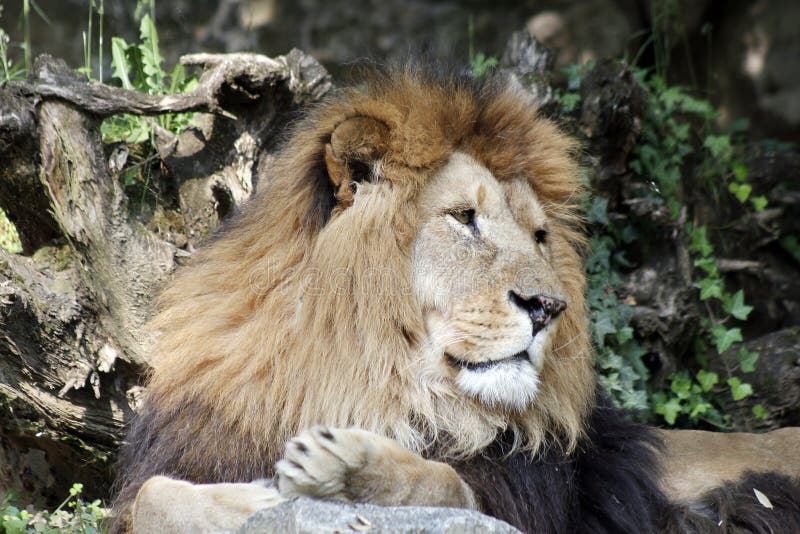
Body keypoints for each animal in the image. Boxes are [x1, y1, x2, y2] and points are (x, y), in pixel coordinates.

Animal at [113, 66, 800, 533]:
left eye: (540, 236)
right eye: (465, 218)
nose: (549, 308)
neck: (365, 378)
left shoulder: (525, 504)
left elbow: (444, 484)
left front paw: (346, 470)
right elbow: (151, 498)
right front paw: (256, 496)